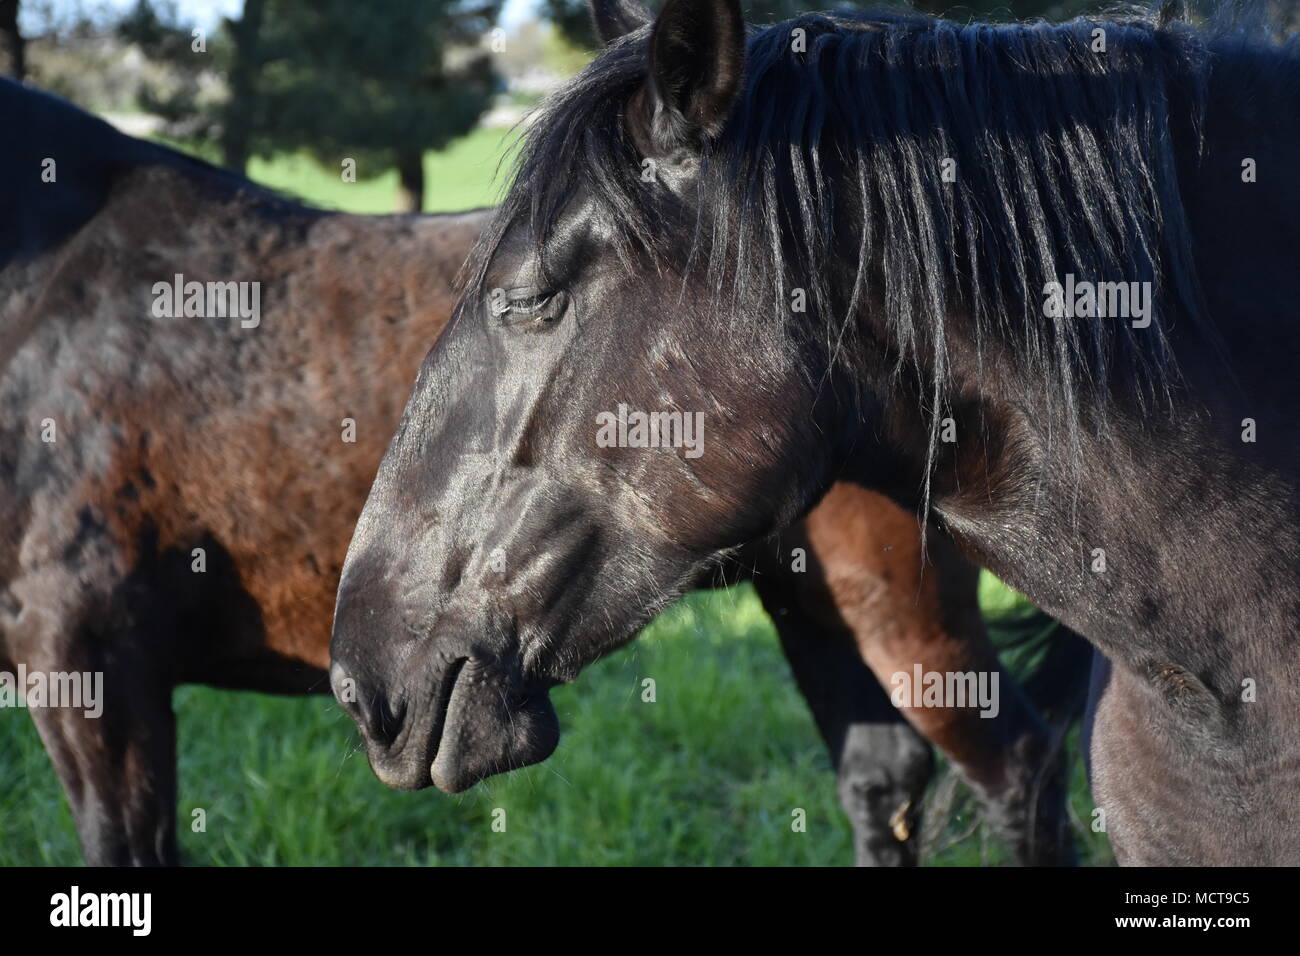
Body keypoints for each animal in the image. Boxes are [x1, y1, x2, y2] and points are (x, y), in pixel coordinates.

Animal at [0, 77, 1082, 866]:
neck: (48, 293)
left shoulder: (89, 664)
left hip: (901, 605)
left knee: (1021, 773)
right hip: (815, 600)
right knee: (881, 782)